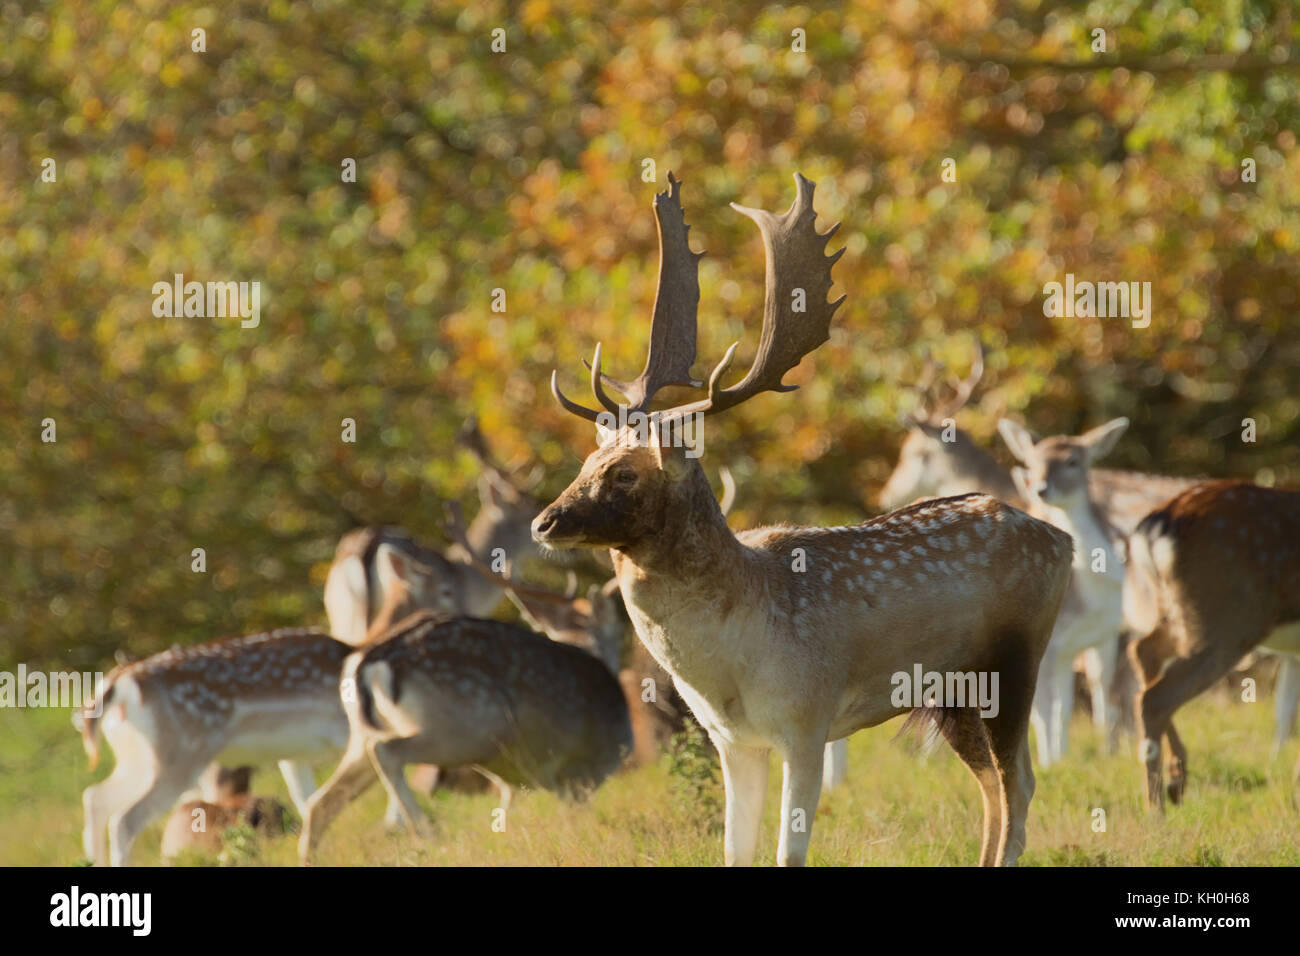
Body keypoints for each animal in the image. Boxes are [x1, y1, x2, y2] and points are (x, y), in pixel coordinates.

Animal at [527, 171, 1074, 866]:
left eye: (625, 472)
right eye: (587, 459)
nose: (545, 522)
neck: (730, 663)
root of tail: (1061, 540)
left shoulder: (808, 721)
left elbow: (791, 852)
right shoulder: (732, 740)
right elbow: (734, 852)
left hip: (1013, 659)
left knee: (1020, 783)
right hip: (953, 693)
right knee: (993, 790)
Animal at [1123, 480, 1300, 808]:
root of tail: (1156, 525)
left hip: (1182, 612)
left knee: (1142, 650)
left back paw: (1177, 780)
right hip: (1228, 620)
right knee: (1154, 696)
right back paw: (1156, 809)